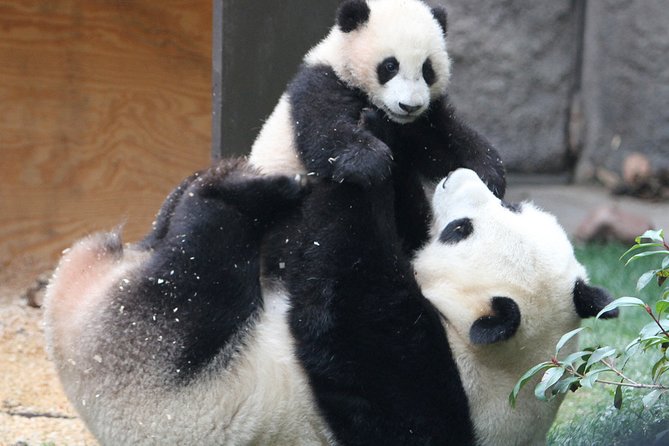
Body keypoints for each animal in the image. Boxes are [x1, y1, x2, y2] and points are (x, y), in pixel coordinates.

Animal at [248, 0, 506, 253]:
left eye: (427, 69)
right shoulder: (322, 84)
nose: (409, 106)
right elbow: (326, 133)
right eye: (390, 66)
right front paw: (370, 161)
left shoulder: (421, 121)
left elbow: (442, 143)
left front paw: (488, 174)